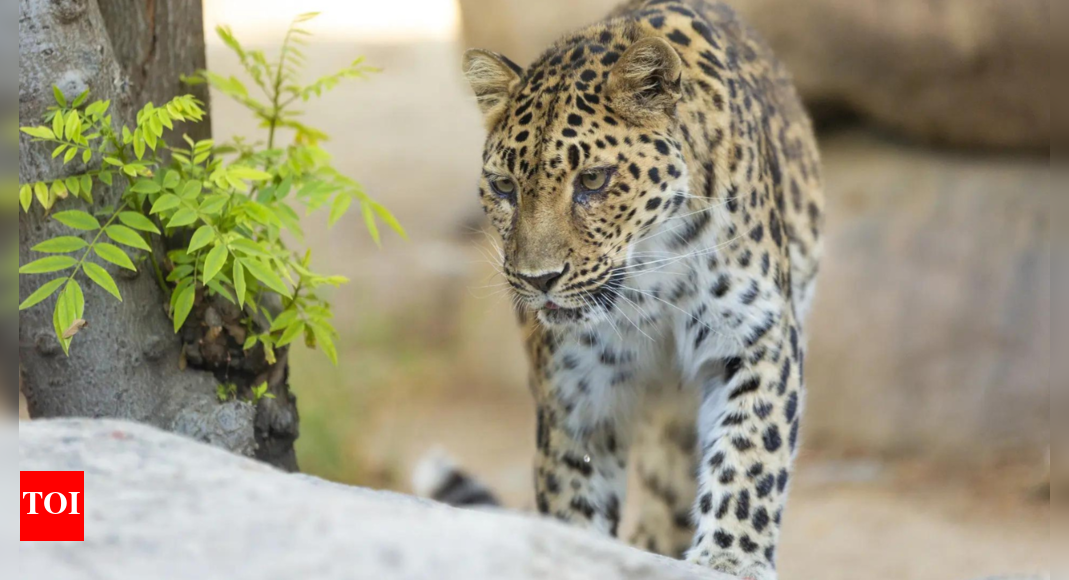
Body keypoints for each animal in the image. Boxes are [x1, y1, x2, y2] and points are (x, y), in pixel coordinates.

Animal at [419, 1, 824, 578]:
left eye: (592, 181)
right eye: (504, 188)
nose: (538, 280)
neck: (650, 278)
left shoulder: (757, 334)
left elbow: (751, 451)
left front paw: (731, 557)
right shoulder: (578, 385)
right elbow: (574, 488)